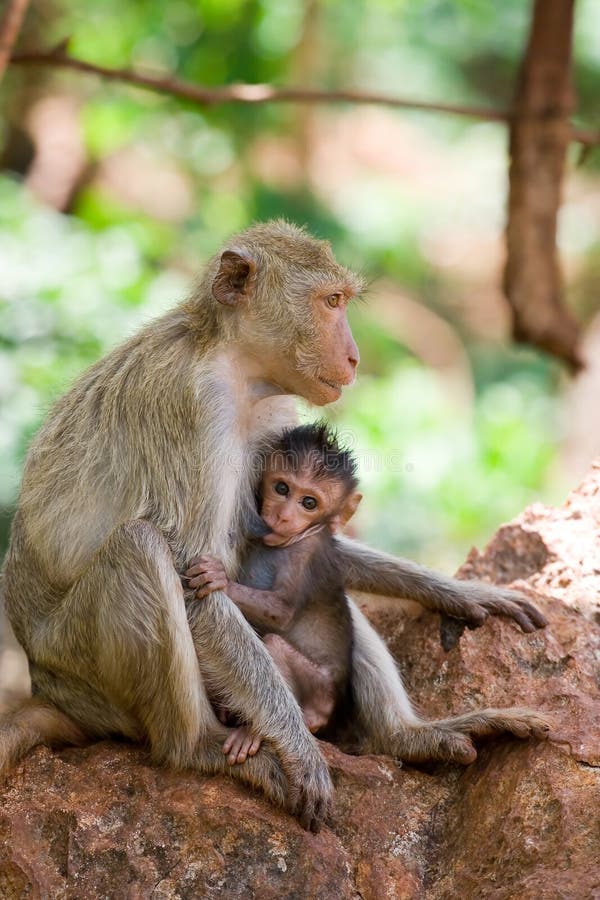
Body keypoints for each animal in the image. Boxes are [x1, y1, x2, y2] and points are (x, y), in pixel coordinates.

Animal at [189, 426, 360, 764]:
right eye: (282, 488)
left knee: (273, 644)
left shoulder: (304, 554)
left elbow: (280, 612)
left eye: (309, 503)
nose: (282, 515)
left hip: (319, 689)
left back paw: (255, 730)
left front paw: (220, 579)